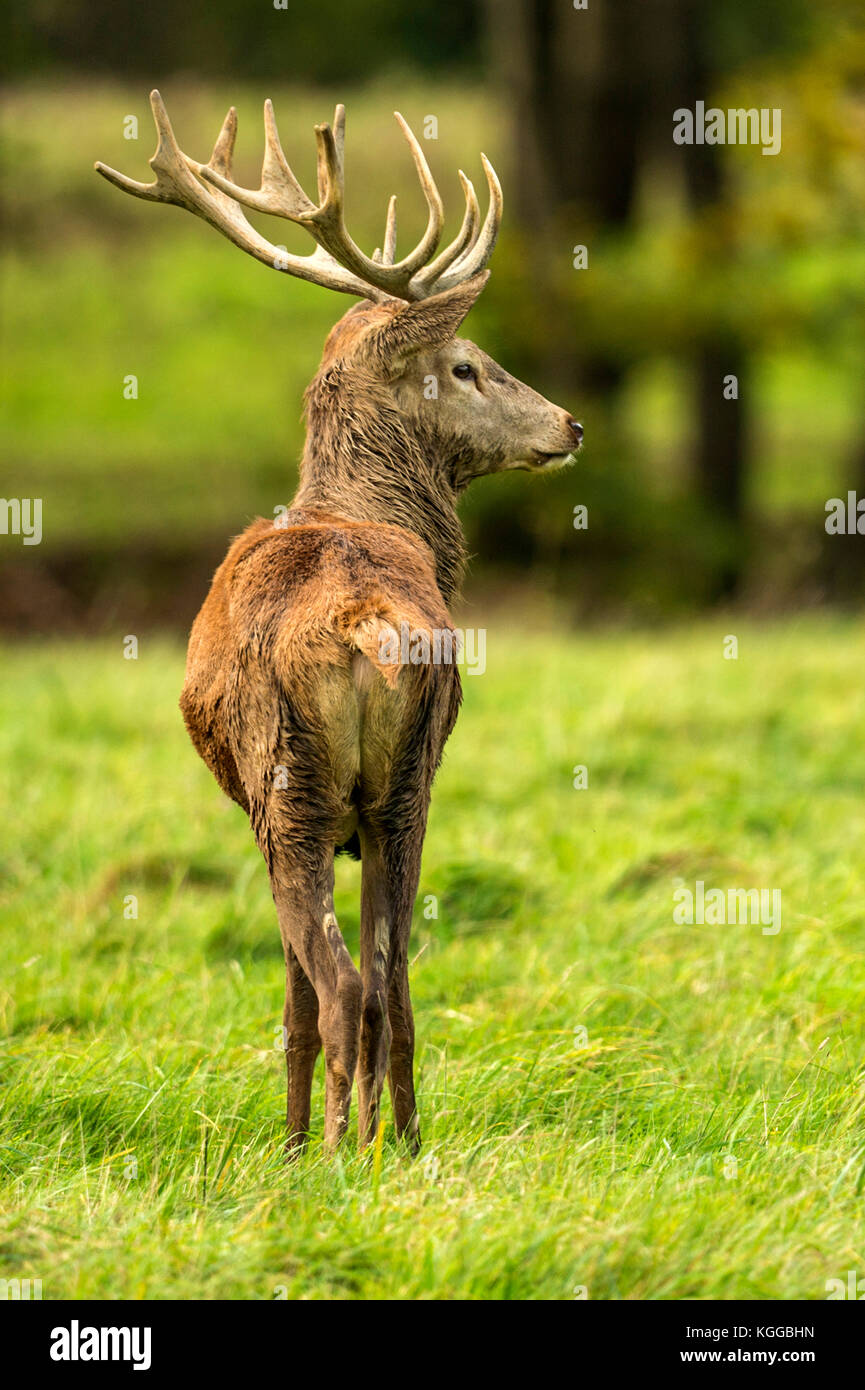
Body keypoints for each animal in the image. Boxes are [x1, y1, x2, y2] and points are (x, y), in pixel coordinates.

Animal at [96, 91, 582, 1156]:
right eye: (468, 367)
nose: (570, 424)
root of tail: (365, 625)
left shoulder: (261, 807)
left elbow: (291, 999)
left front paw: (285, 1141)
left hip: (291, 788)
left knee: (339, 983)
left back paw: (326, 1154)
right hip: (408, 787)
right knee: (393, 980)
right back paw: (395, 1141)